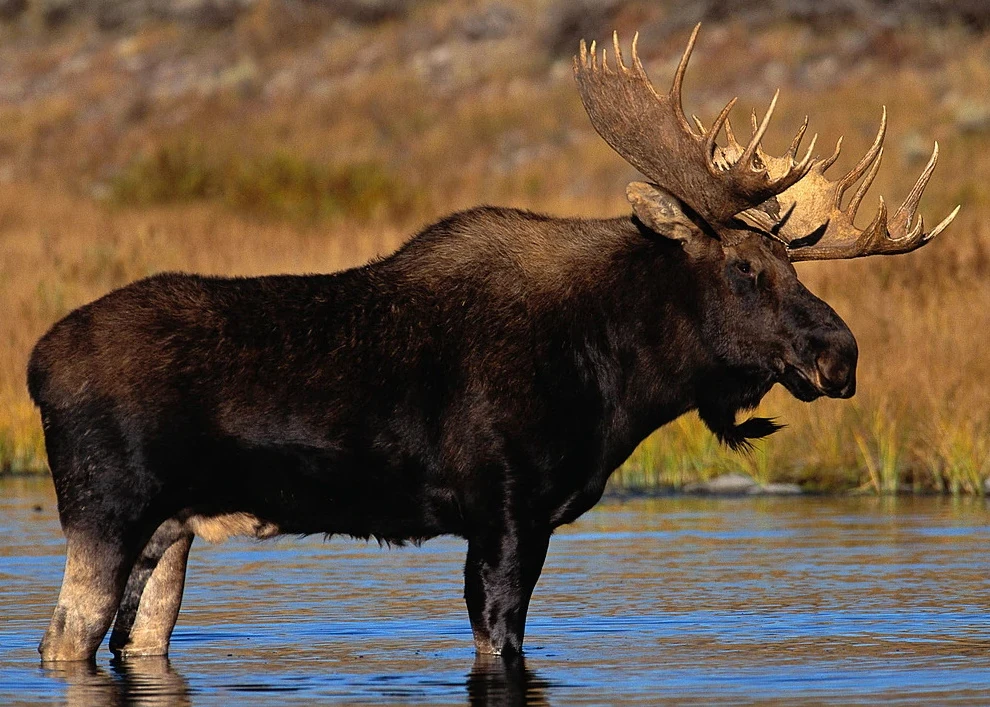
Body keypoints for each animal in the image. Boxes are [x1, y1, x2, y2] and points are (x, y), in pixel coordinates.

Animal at [30, 25, 958, 662]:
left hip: (172, 530)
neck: (616, 378)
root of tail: (38, 362)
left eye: (791, 263)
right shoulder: (507, 509)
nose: (842, 355)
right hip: (107, 507)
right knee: (64, 635)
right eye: (744, 267)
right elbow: (499, 636)